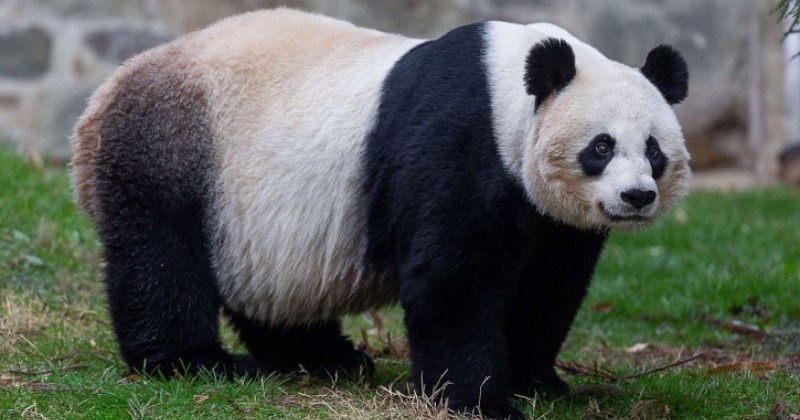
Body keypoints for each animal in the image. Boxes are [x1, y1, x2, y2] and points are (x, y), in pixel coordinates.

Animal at [72, 8, 689, 419]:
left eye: (654, 150)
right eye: (601, 146)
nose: (637, 197)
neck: (512, 94)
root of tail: (105, 93)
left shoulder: (551, 221)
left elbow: (548, 285)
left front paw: (537, 380)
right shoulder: (459, 143)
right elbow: (453, 279)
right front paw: (479, 400)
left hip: (252, 213)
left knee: (269, 288)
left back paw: (326, 358)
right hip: (169, 147)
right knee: (160, 258)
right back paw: (197, 362)